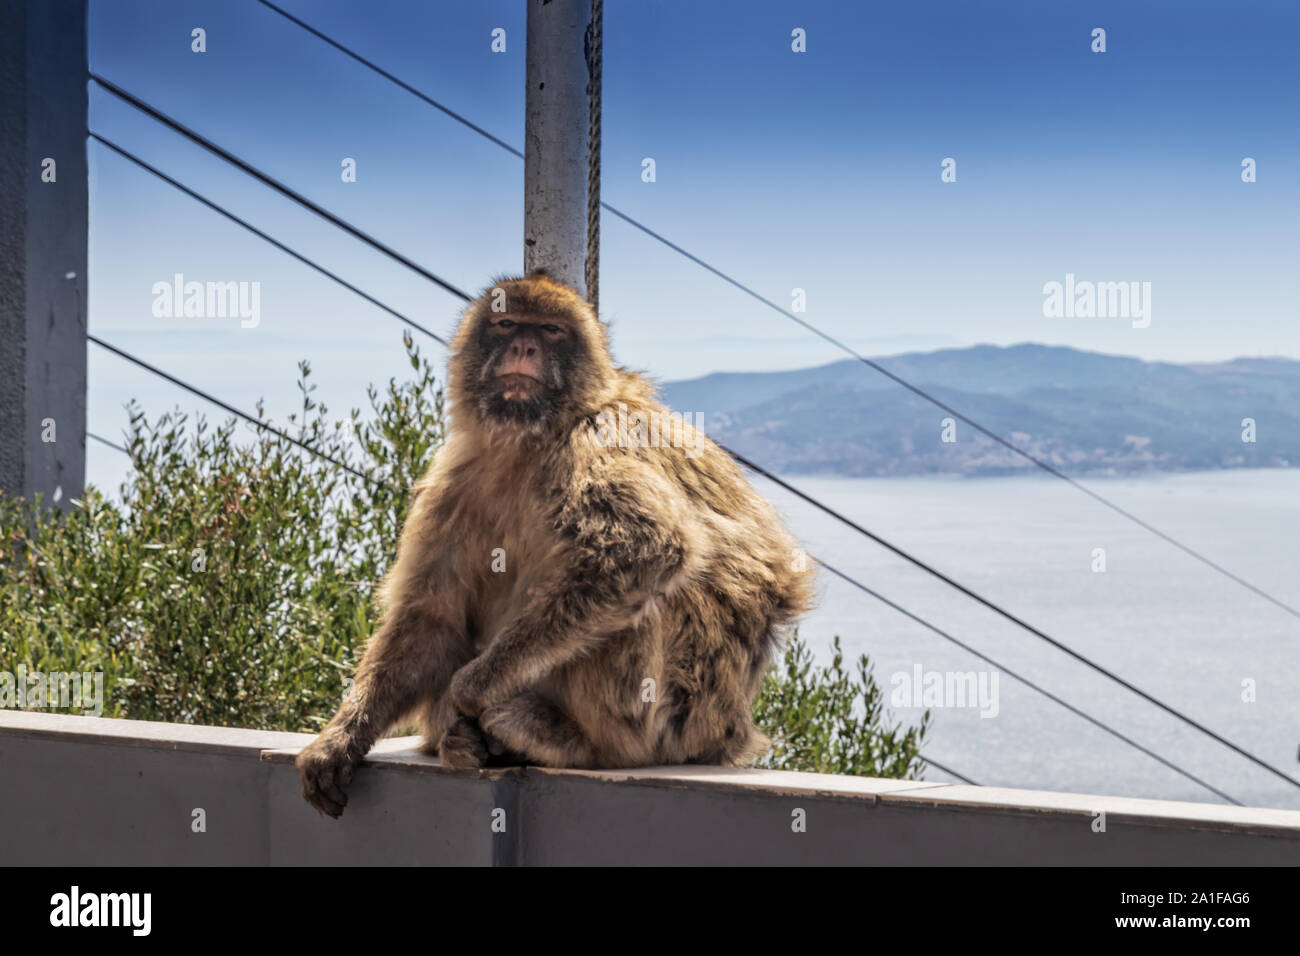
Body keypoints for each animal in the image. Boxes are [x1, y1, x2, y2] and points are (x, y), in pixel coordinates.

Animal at [296, 271, 814, 817]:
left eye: (550, 330)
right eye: (506, 323)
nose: (524, 346)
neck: (526, 443)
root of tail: (733, 732)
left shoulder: (598, 437)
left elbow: (643, 550)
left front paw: (469, 688)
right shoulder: (451, 483)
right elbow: (431, 617)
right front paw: (339, 742)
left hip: (686, 717)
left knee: (647, 600)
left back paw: (577, 741)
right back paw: (468, 742)